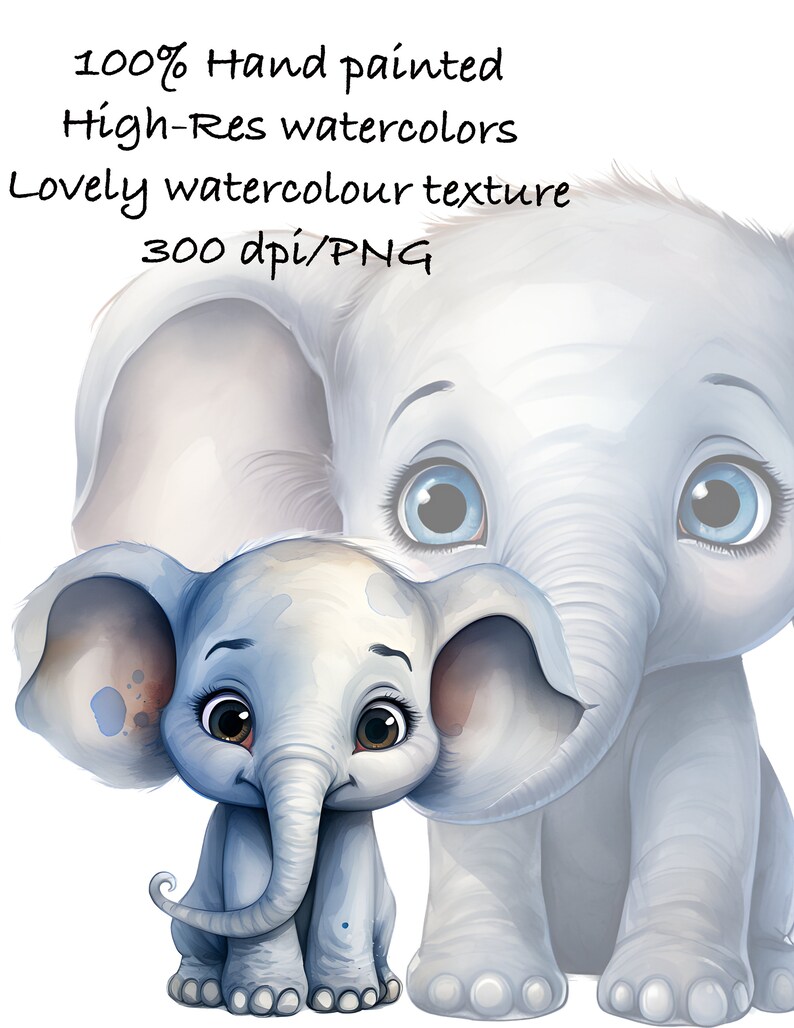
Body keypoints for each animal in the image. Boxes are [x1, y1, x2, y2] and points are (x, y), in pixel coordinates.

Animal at [16, 536, 568, 1014]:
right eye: (228, 721)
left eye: (381, 728)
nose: (163, 880)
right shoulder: (239, 822)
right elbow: (248, 873)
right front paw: (265, 1002)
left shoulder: (355, 831)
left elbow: (349, 879)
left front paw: (346, 1001)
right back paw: (197, 990)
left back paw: (387, 988)